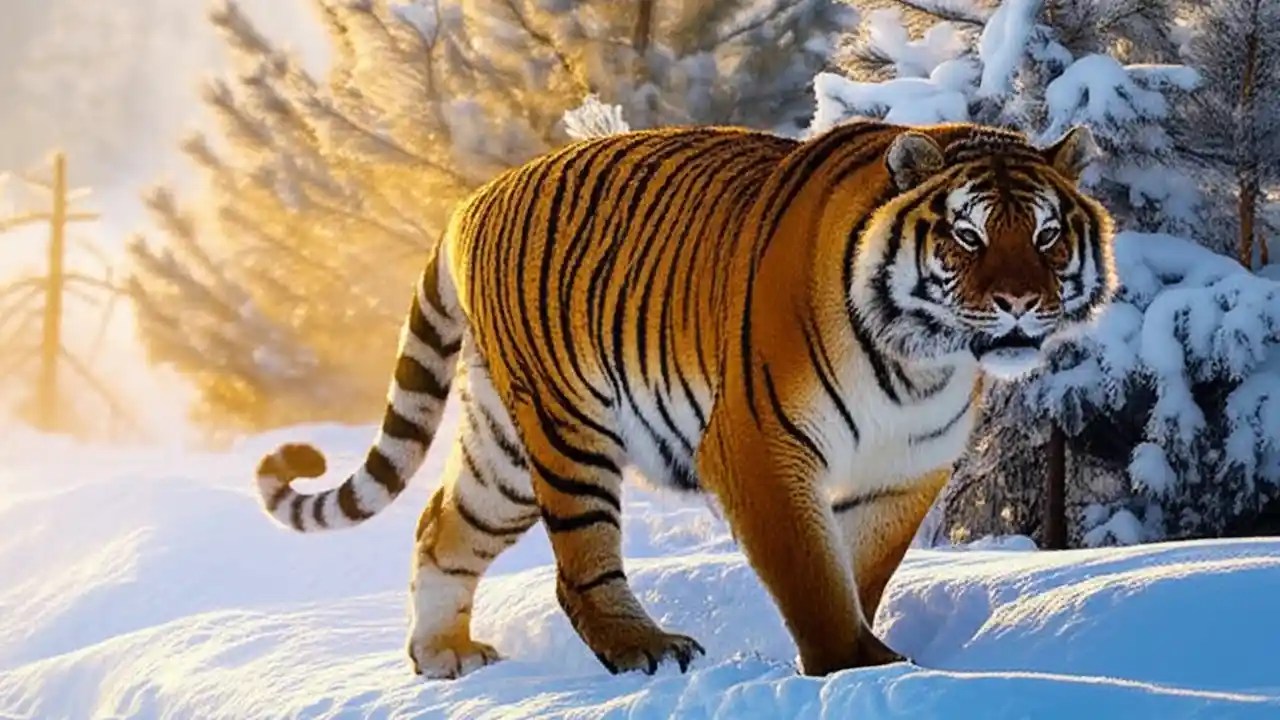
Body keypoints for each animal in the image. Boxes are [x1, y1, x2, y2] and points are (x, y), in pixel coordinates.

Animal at [255, 119, 1116, 679]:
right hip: (567, 431)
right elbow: (810, 573)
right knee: (579, 564)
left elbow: (858, 568)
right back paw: (642, 647)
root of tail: (471, 202)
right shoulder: (759, 445)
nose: (1016, 303)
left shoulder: (905, 469)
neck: (921, 360)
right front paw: (853, 668)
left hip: (501, 452)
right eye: (968, 236)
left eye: (1046, 236)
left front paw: (862, 654)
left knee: (442, 528)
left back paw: (442, 654)